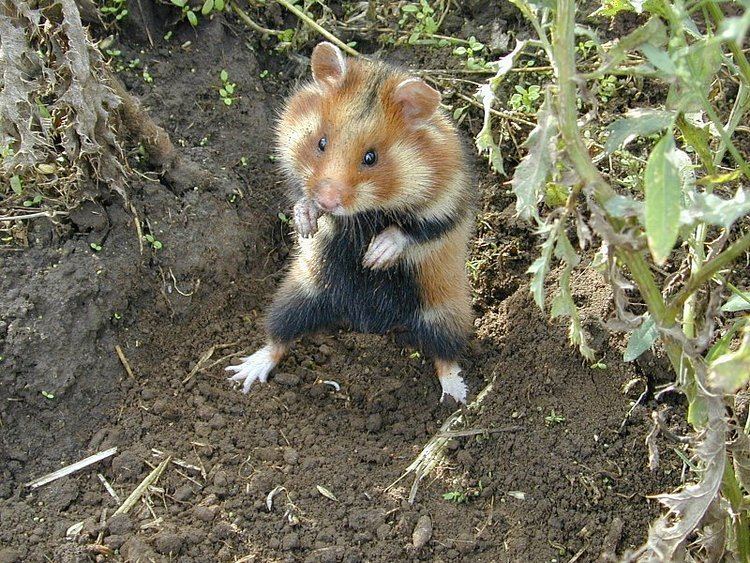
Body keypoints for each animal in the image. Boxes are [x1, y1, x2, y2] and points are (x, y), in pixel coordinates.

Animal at [226, 42, 474, 404]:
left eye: (371, 157)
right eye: (321, 142)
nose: (328, 201)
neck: (368, 211)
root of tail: (365, 323)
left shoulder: (448, 202)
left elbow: (411, 230)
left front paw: (373, 257)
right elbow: (299, 196)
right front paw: (306, 224)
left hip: (444, 312)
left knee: (446, 355)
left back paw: (458, 398)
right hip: (299, 293)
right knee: (278, 337)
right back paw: (243, 373)